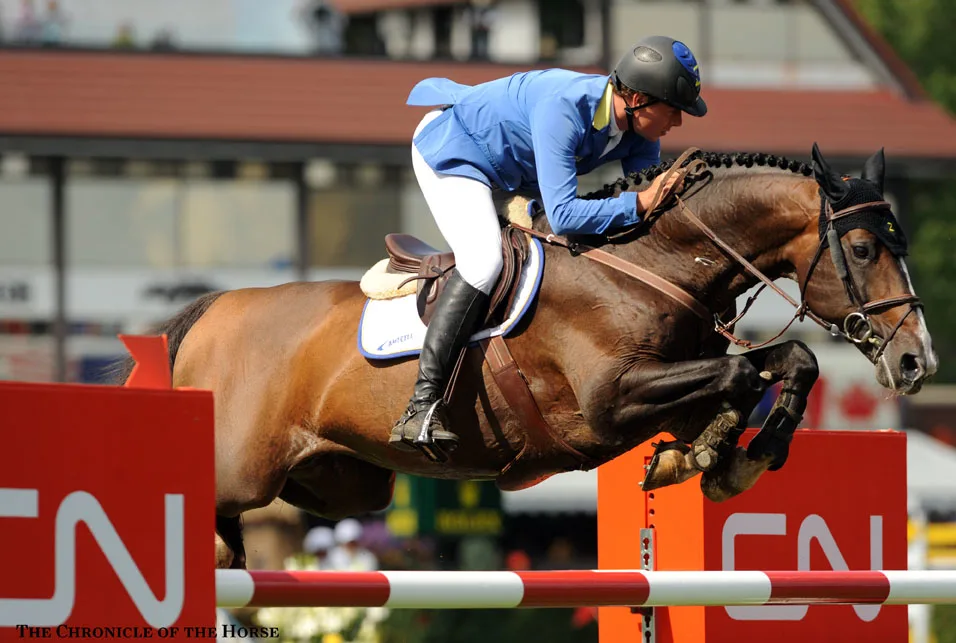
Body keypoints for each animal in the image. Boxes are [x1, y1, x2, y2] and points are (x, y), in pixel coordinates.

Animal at [113, 144, 936, 569]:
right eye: (865, 249)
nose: (917, 363)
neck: (651, 263)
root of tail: (213, 311)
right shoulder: (610, 403)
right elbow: (743, 370)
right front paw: (711, 455)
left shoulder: (670, 387)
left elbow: (789, 362)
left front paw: (724, 457)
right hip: (243, 469)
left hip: (340, 482)